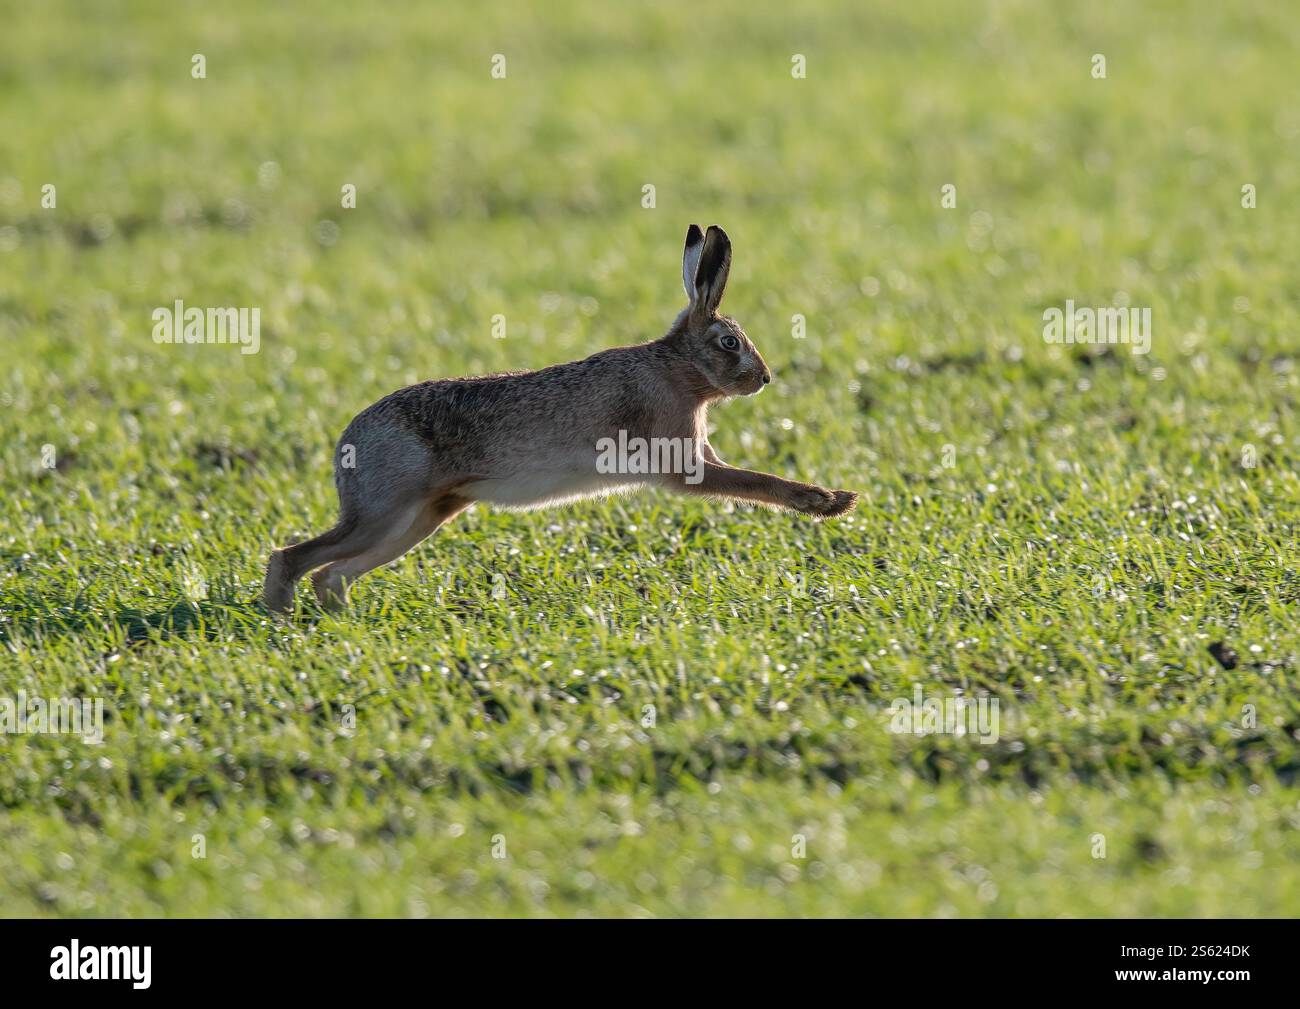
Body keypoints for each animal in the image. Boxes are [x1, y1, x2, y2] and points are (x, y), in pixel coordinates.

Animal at [263, 224, 858, 613]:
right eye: (729, 342)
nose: (765, 378)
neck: (677, 369)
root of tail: (347, 443)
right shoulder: (684, 462)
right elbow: (756, 482)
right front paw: (828, 501)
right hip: (387, 511)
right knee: (295, 556)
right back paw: (282, 611)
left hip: (422, 518)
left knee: (333, 572)